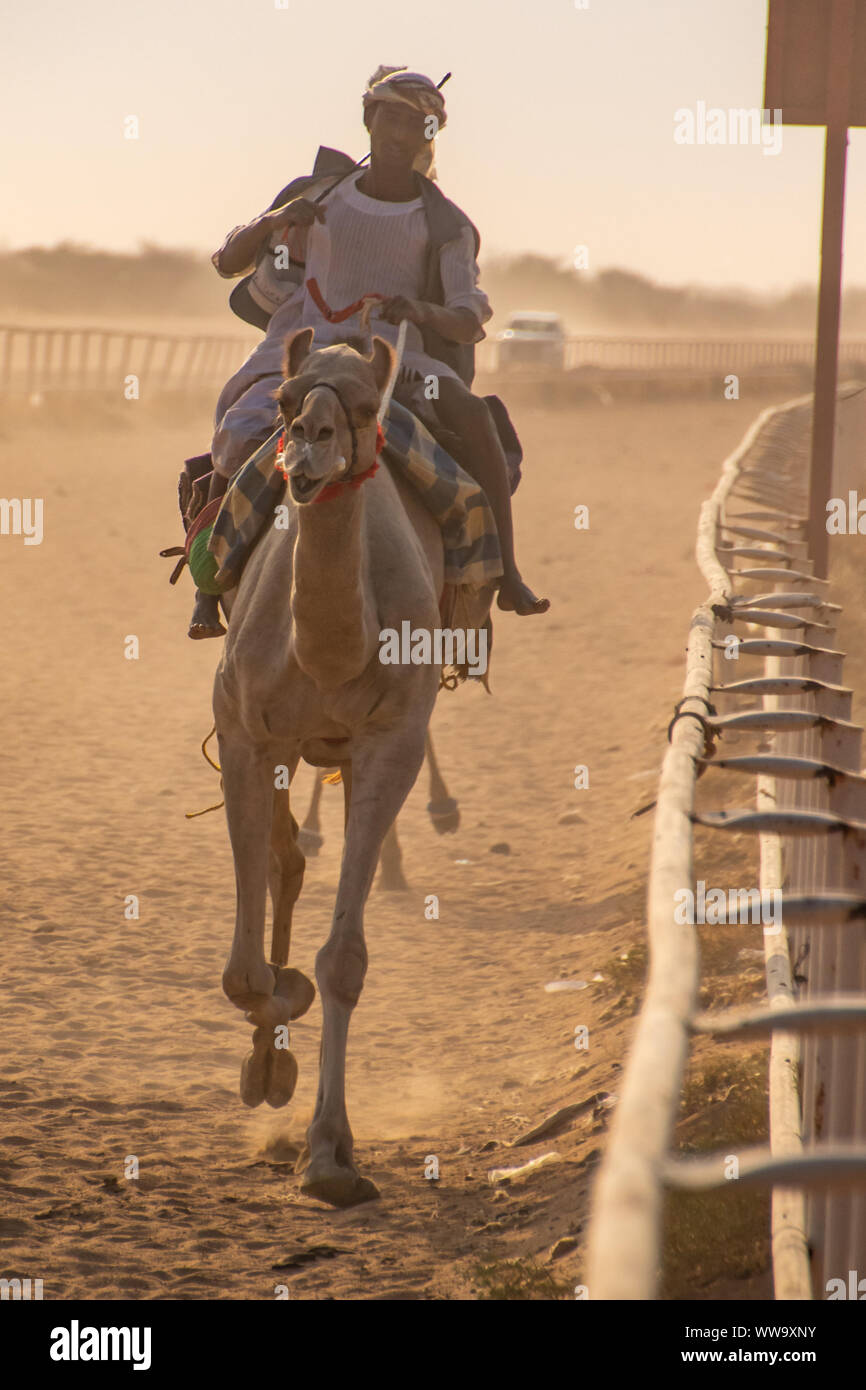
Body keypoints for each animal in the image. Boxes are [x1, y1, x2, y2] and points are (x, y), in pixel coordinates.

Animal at [212, 326, 492, 1207]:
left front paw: (330, 1155)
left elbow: (343, 962)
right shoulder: (243, 734)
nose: (309, 442)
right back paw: (267, 1059)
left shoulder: (389, 742)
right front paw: (277, 1017)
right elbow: (243, 971)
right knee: (286, 860)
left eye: (367, 407)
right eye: (284, 400)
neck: (329, 650)